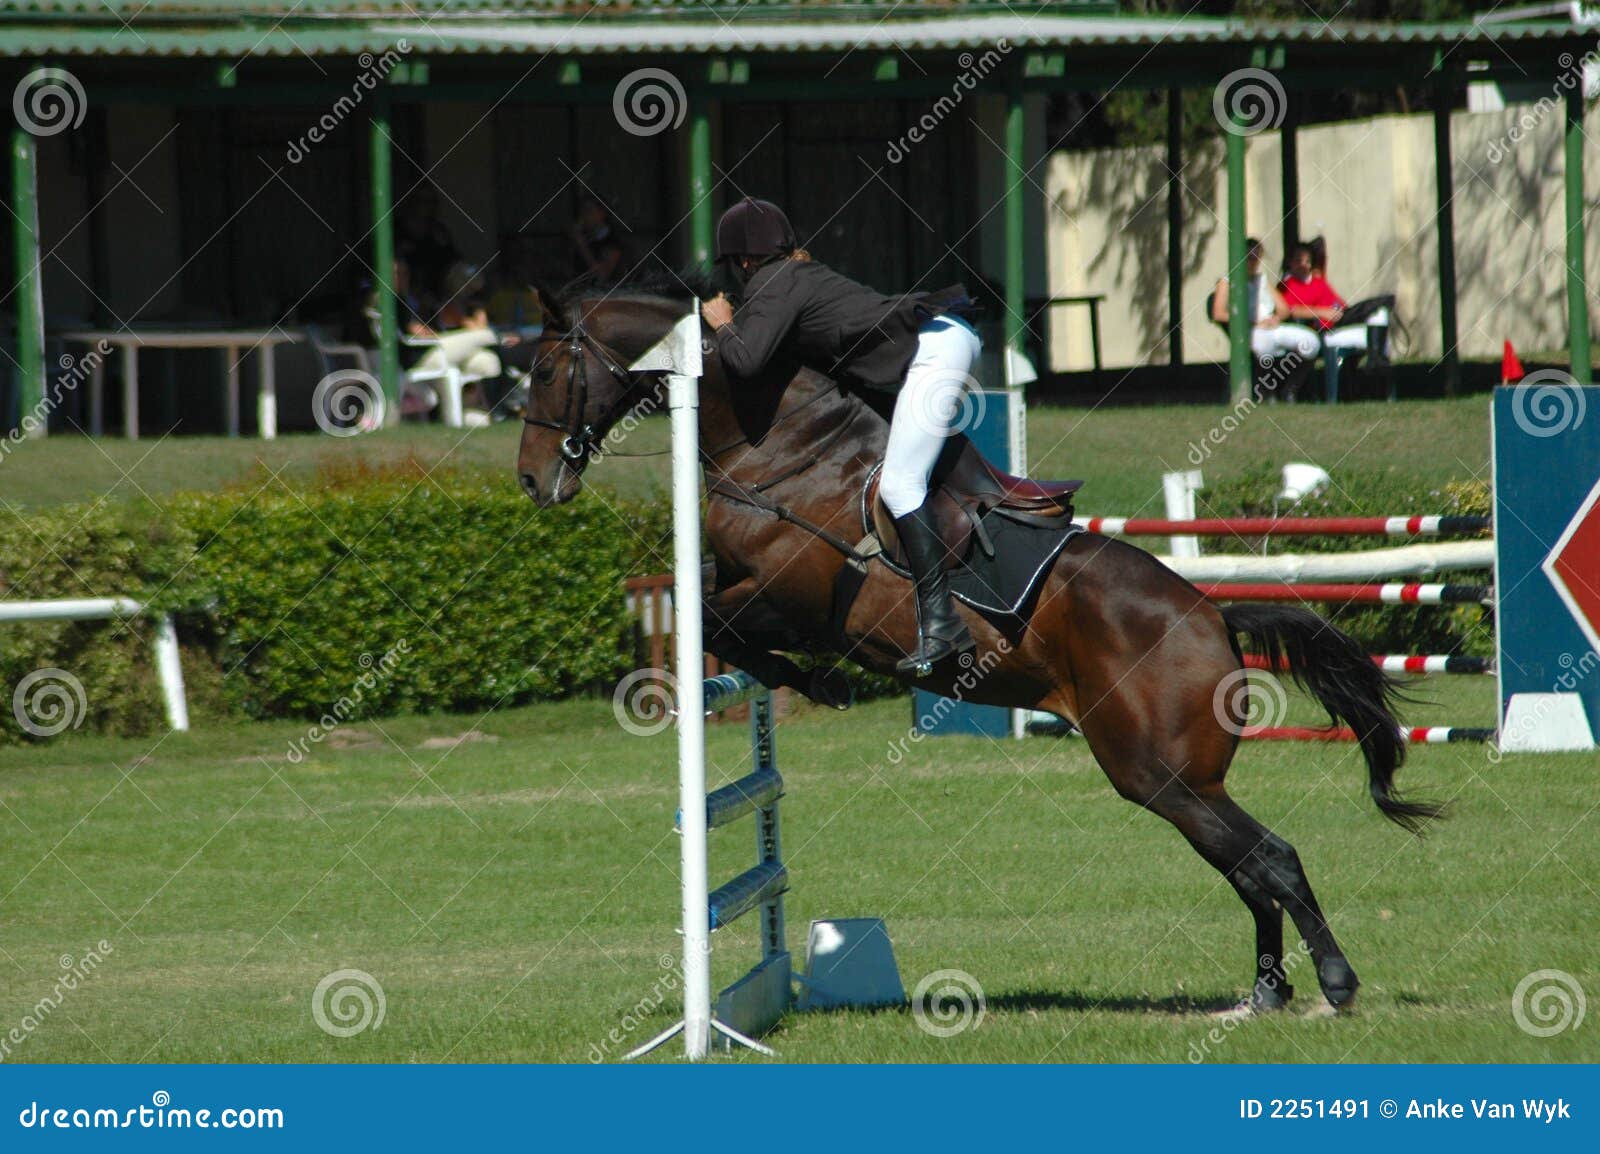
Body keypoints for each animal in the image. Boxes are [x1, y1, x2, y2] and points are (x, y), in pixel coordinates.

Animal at [515, 275, 1443, 1016]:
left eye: (548, 371)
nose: (531, 481)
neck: (777, 444)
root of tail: (1209, 616)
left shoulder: (794, 597)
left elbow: (717, 623)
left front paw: (822, 683)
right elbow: (700, 610)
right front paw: (814, 685)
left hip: (1159, 772)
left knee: (1270, 860)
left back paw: (1333, 984)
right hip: (1176, 780)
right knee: (1249, 869)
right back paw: (1264, 993)